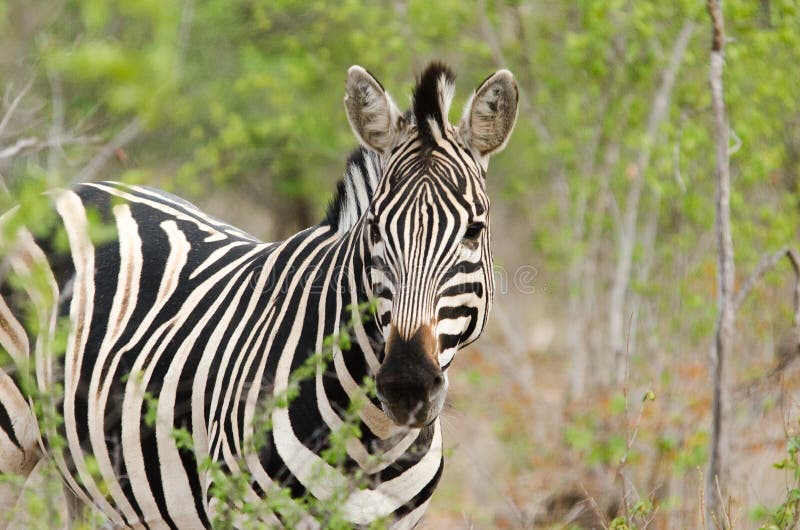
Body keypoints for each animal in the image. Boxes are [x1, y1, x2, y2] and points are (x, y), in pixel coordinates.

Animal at [0, 62, 518, 528]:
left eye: (474, 231)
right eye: (375, 230)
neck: (375, 438)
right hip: (10, 445)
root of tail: (67, 190)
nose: (406, 386)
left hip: (84, 471)